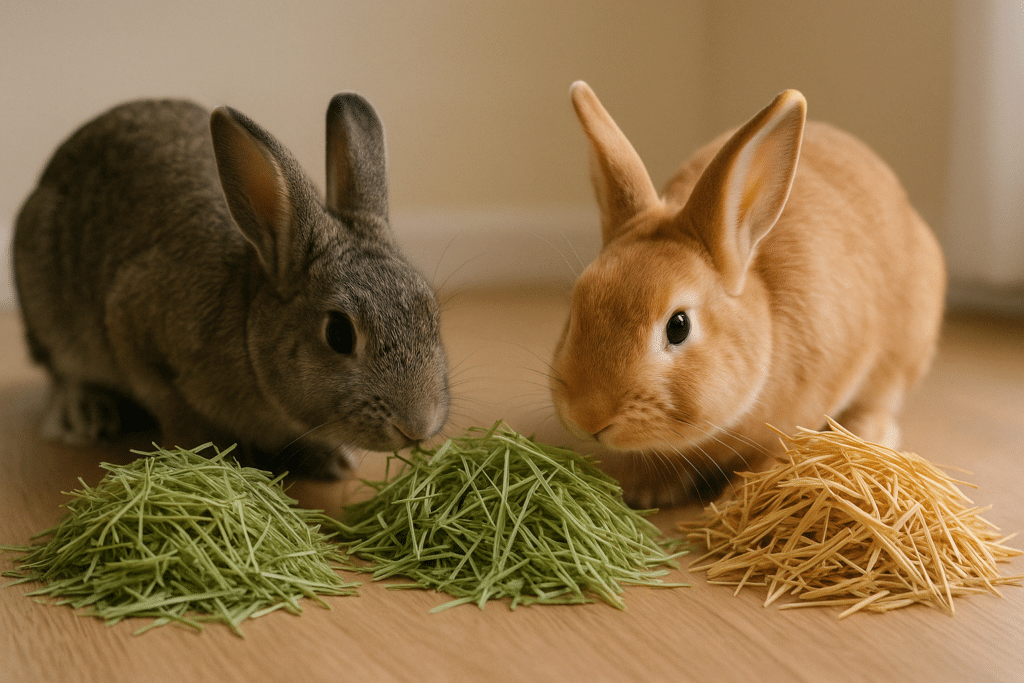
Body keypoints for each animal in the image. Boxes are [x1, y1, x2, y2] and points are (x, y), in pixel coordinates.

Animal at [13, 93, 450, 479]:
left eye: (431, 312)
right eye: (339, 334)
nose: (418, 426)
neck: (247, 329)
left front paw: (331, 460)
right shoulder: (132, 326)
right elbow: (176, 411)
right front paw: (214, 459)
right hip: (45, 299)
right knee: (61, 369)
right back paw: (83, 413)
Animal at [549, 82, 946, 508]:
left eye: (678, 326)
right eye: (576, 308)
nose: (587, 416)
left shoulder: (798, 414)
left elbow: (772, 454)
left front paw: (738, 498)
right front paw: (646, 490)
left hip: (901, 355)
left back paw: (865, 433)